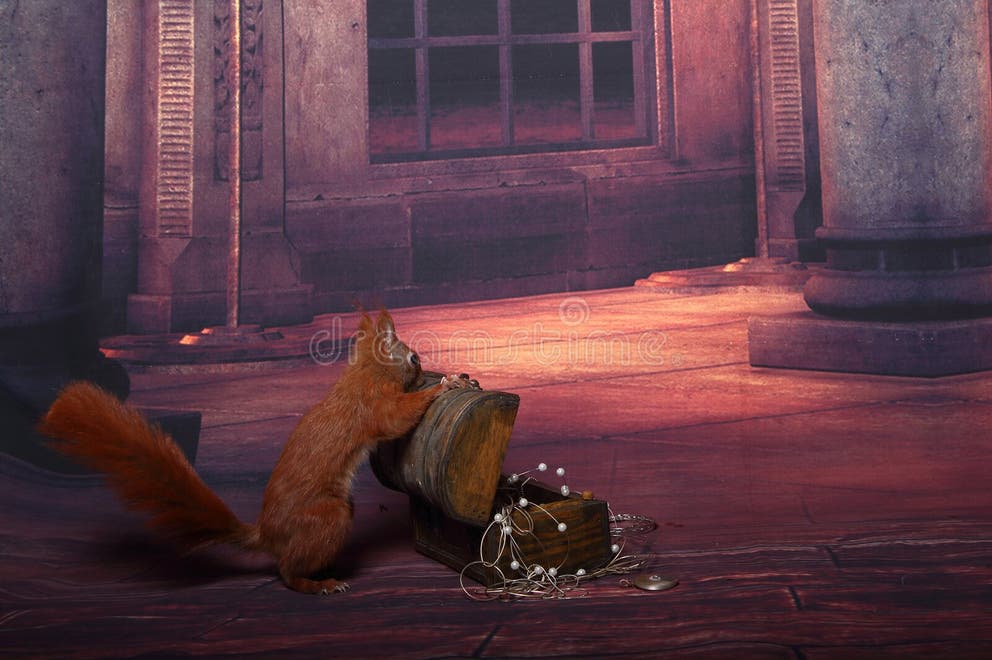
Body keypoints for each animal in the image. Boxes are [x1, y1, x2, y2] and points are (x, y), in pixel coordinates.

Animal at [39, 309, 473, 594]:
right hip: (328, 514)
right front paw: (445, 385)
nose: (422, 366)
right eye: (412, 357)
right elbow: (399, 417)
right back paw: (318, 583)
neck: (365, 371)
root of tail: (268, 536)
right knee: (286, 572)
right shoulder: (376, 405)